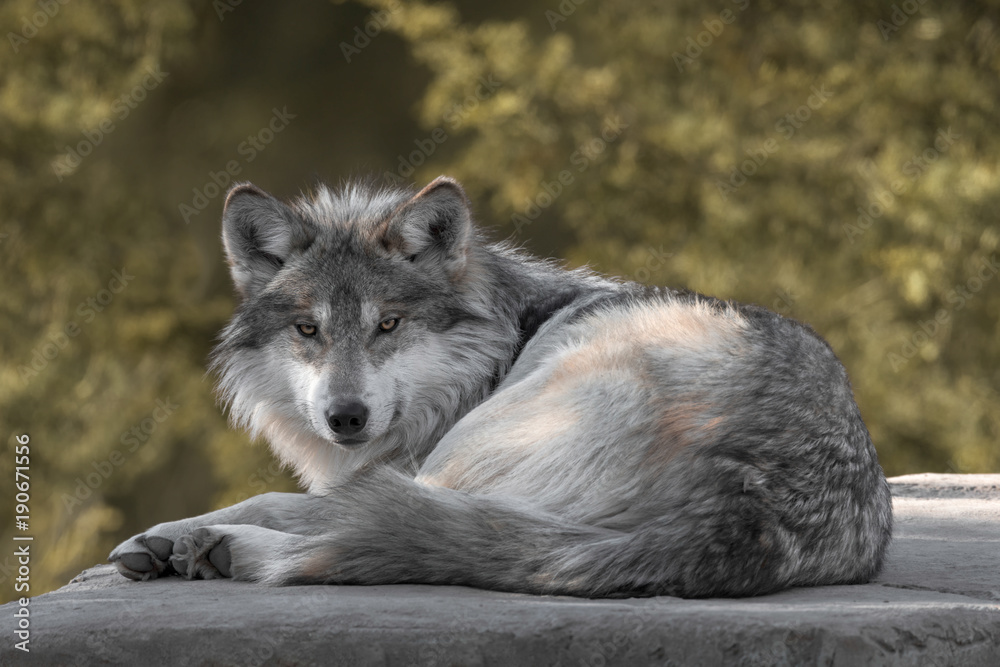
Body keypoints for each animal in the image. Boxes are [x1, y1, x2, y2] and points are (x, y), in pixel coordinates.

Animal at [110, 176, 893, 598]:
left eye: (389, 323)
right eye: (308, 329)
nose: (346, 418)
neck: (497, 342)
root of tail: (753, 504)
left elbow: (282, 499)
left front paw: (173, 534)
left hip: (477, 449)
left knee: (365, 520)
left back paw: (221, 547)